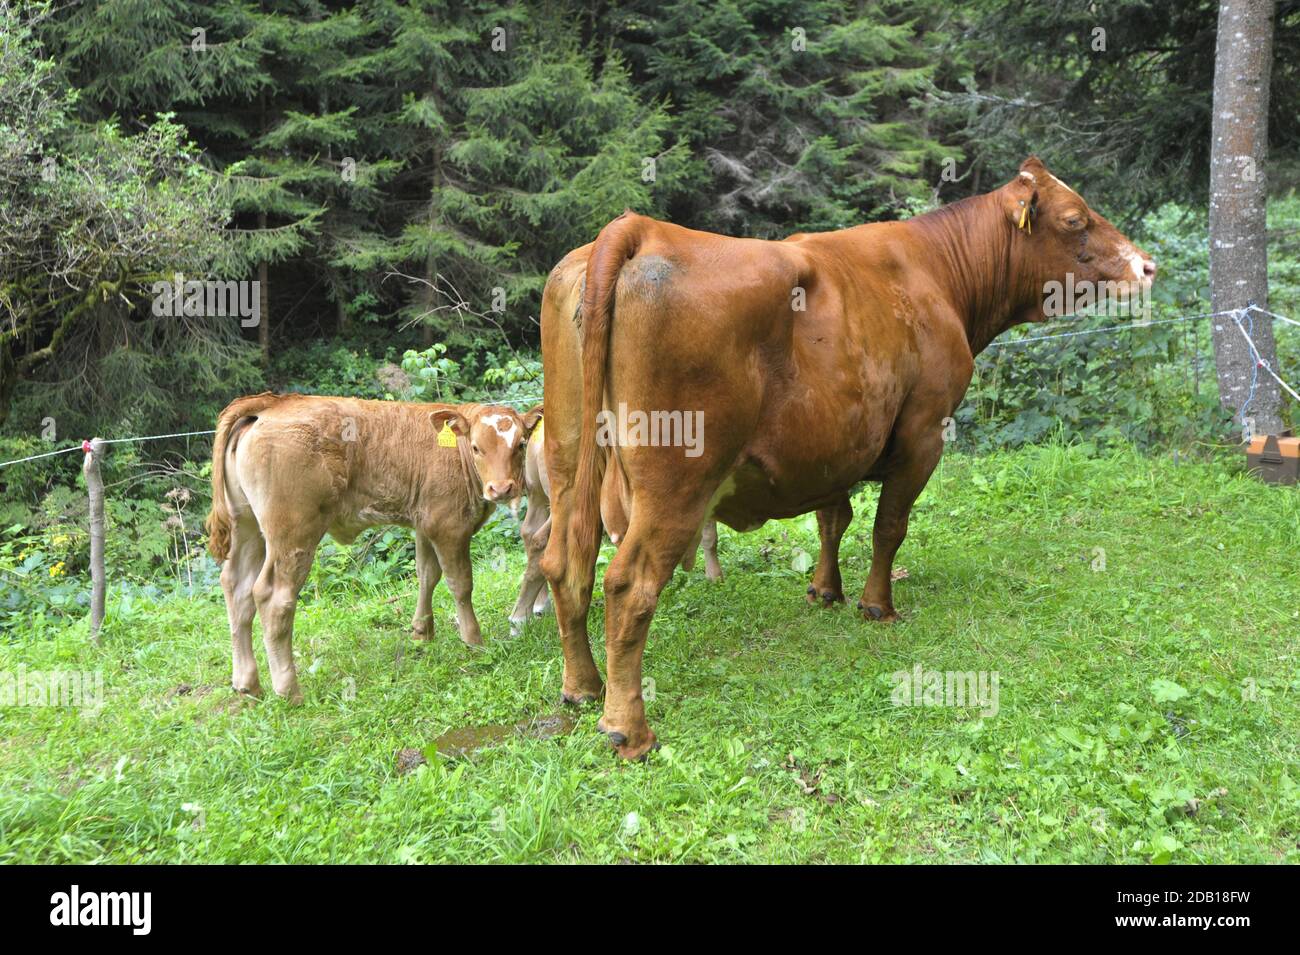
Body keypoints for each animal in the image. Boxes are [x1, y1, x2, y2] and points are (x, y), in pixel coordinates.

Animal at [205, 393, 541, 703]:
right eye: (476, 447)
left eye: (521, 444)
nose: (502, 488)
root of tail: (274, 402)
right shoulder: (449, 526)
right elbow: (460, 584)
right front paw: (473, 641)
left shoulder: (424, 523)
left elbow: (426, 574)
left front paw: (422, 631)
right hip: (292, 534)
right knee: (273, 597)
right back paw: (288, 690)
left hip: (246, 526)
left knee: (237, 587)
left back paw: (247, 683)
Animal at [509, 415, 722, 635]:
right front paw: (715, 576)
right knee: (541, 542)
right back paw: (520, 617)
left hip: (538, 495)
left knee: (530, 533)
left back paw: (534, 609)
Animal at [538, 157, 1157, 759]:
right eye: (1075, 219)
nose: (1148, 266)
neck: (934, 271)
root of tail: (642, 228)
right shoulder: (923, 432)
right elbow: (889, 527)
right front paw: (877, 605)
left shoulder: (833, 443)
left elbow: (833, 519)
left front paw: (825, 590)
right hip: (675, 482)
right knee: (629, 585)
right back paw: (628, 729)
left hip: (569, 459)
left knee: (565, 563)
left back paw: (582, 686)